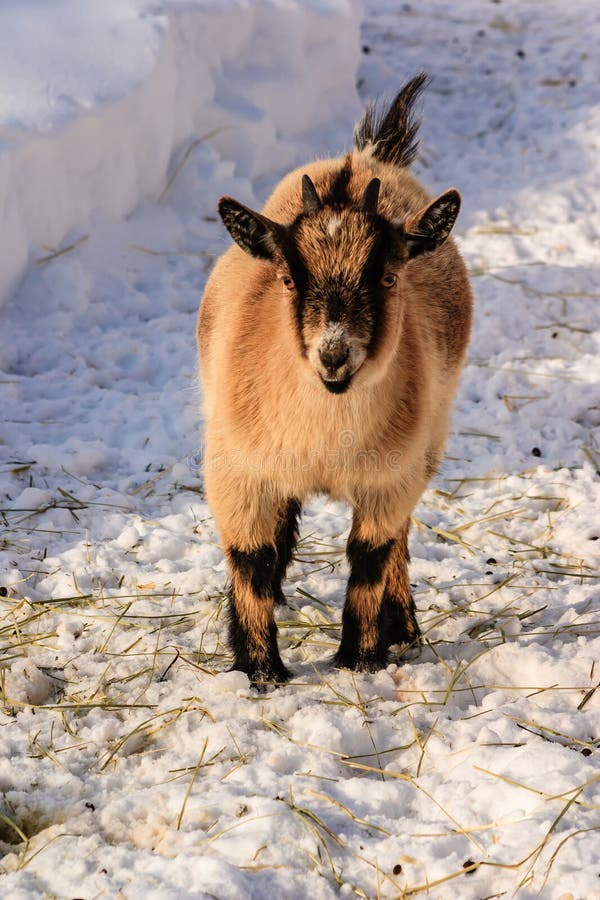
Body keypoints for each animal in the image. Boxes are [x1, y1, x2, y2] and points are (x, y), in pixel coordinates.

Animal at [197, 74, 473, 685]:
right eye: (286, 278)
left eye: (390, 276)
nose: (333, 354)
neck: (324, 437)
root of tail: (363, 159)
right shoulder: (237, 469)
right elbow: (252, 559)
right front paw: (262, 670)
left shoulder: (390, 477)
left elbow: (370, 555)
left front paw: (360, 658)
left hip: (428, 442)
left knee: (400, 538)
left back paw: (404, 627)